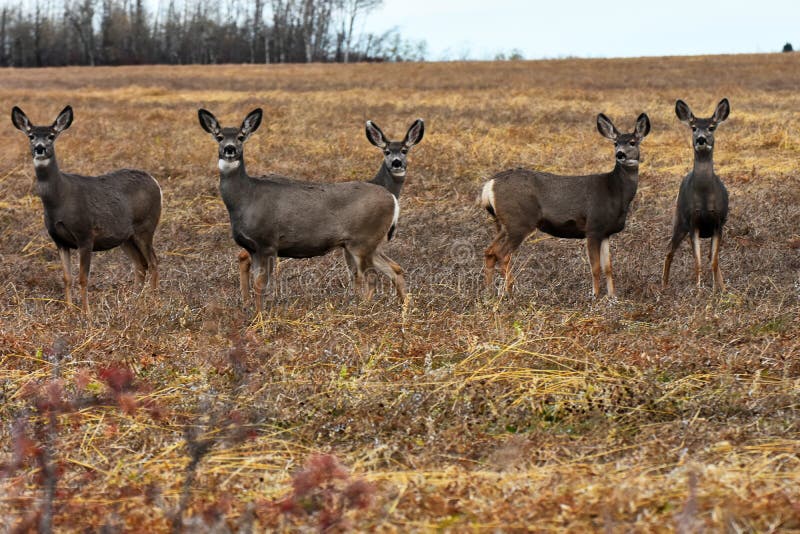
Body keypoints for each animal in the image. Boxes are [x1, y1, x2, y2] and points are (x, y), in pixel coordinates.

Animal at [11, 105, 162, 316]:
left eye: (51, 136)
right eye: (31, 135)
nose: (40, 148)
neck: (59, 200)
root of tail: (155, 181)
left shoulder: (85, 234)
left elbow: (83, 278)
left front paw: (86, 312)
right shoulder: (59, 240)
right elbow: (67, 278)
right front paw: (68, 310)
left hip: (146, 226)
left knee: (153, 262)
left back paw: (152, 301)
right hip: (125, 236)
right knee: (141, 265)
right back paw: (133, 301)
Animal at [197, 108, 405, 310]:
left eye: (241, 136)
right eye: (219, 136)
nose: (229, 149)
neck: (246, 199)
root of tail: (392, 198)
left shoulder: (267, 243)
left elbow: (261, 285)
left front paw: (260, 318)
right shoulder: (252, 248)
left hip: (363, 240)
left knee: (372, 277)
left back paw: (362, 310)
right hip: (366, 243)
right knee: (394, 268)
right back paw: (402, 307)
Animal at [480, 112, 651, 299]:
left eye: (632, 142)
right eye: (615, 143)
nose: (620, 154)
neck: (615, 192)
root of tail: (489, 185)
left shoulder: (606, 232)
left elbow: (608, 268)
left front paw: (612, 297)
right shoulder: (593, 227)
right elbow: (595, 268)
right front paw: (595, 296)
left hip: (504, 224)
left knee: (490, 252)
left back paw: (488, 292)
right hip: (519, 222)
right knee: (503, 254)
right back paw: (510, 293)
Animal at [662, 98, 730, 292]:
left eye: (712, 127)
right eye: (693, 127)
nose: (701, 139)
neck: (705, 196)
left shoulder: (718, 223)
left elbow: (713, 261)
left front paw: (717, 291)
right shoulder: (693, 222)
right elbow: (697, 262)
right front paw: (698, 291)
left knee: (711, 257)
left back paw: (723, 287)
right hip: (679, 220)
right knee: (669, 250)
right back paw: (664, 287)